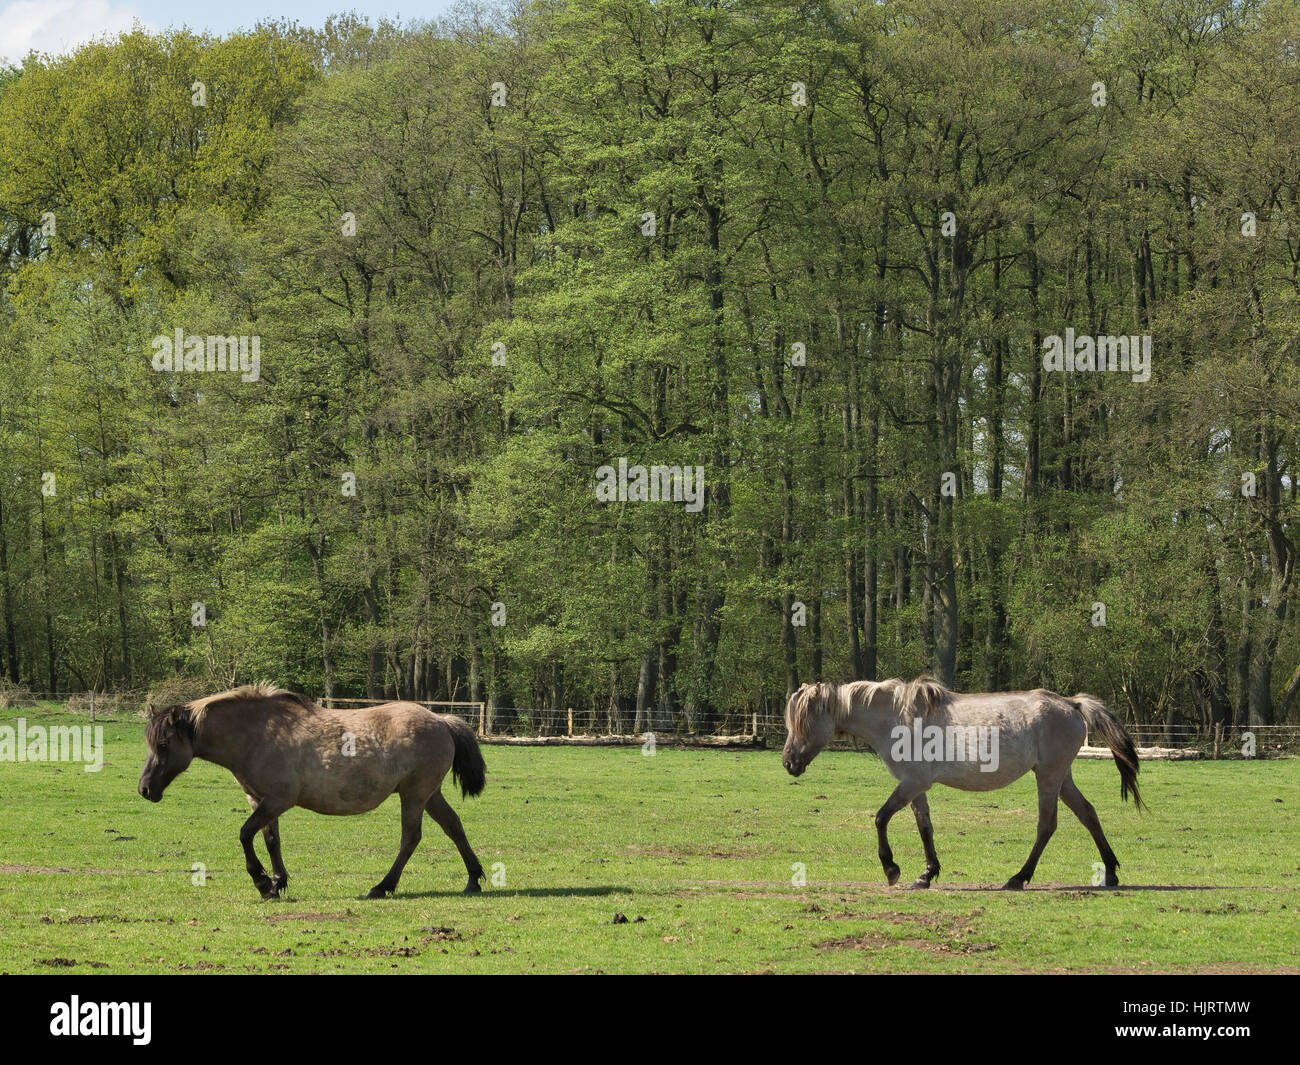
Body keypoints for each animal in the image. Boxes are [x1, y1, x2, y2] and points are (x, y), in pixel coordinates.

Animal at [138, 684, 487, 900]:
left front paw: (261, 882)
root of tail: (441, 719)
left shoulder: (277, 800)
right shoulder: (260, 800)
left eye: (164, 744)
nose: (145, 789)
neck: (258, 734)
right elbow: (271, 840)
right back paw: (473, 880)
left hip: (414, 795)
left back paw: (382, 886)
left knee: (411, 838)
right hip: (430, 794)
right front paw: (277, 882)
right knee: (454, 827)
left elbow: (245, 834)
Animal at [781, 677, 1143, 890]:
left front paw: (891, 869)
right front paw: (926, 875)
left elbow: (881, 818)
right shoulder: (917, 787)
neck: (896, 718)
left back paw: (1018, 878)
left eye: (803, 720)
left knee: (1047, 825)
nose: (789, 763)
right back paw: (1110, 872)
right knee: (1088, 814)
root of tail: (1070, 703)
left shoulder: (911, 782)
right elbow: (925, 828)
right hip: (1061, 776)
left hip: (1049, 776)